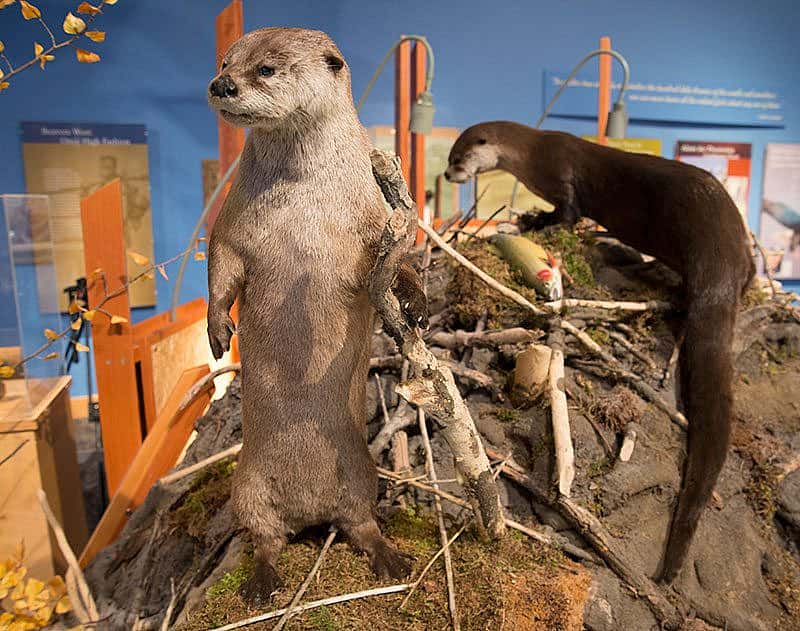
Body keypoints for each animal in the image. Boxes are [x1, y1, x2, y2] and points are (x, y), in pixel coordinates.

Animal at [206, 27, 427, 602]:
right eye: (224, 62)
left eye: (265, 68)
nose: (221, 84)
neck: (305, 200)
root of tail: (308, 512)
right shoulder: (232, 223)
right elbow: (220, 266)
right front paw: (217, 330)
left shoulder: (373, 215)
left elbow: (400, 260)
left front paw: (415, 303)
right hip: (246, 484)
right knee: (264, 536)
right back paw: (263, 581)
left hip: (362, 473)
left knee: (362, 523)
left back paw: (390, 559)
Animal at [445, 121, 754, 583]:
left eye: (457, 158)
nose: (448, 175)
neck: (531, 154)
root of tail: (722, 262)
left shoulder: (563, 179)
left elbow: (567, 216)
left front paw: (533, 220)